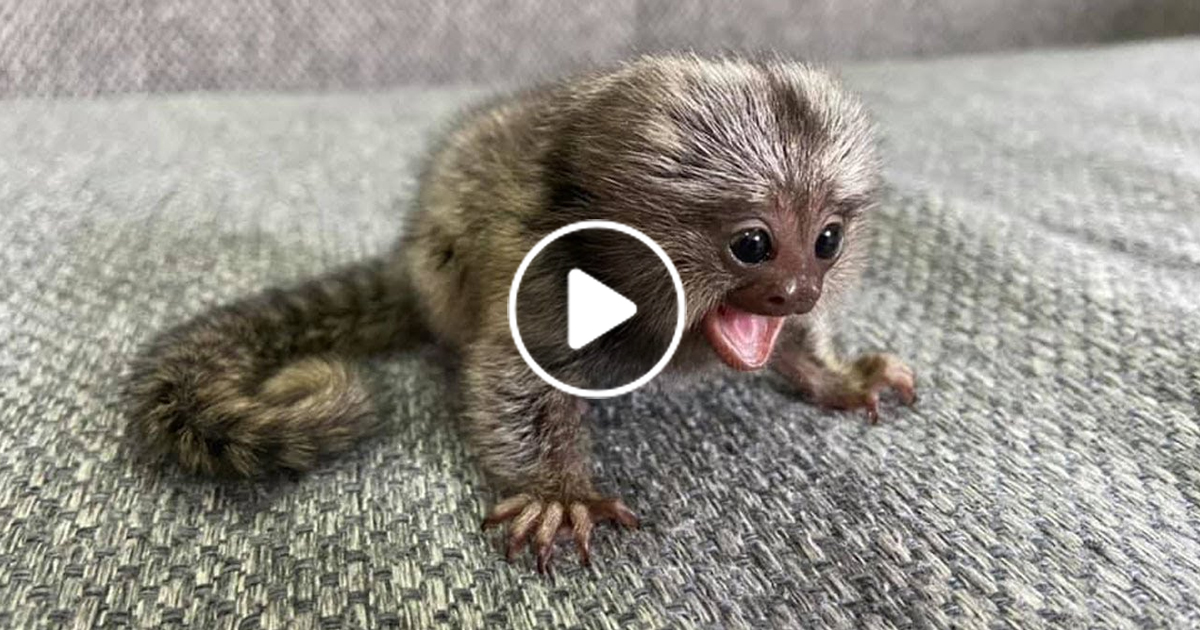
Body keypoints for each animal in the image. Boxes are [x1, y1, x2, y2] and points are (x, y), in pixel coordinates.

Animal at [126, 54, 916, 574]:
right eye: (753, 245)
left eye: (826, 241)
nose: (798, 290)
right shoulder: (547, 278)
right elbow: (515, 379)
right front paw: (557, 495)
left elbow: (803, 349)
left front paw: (838, 377)